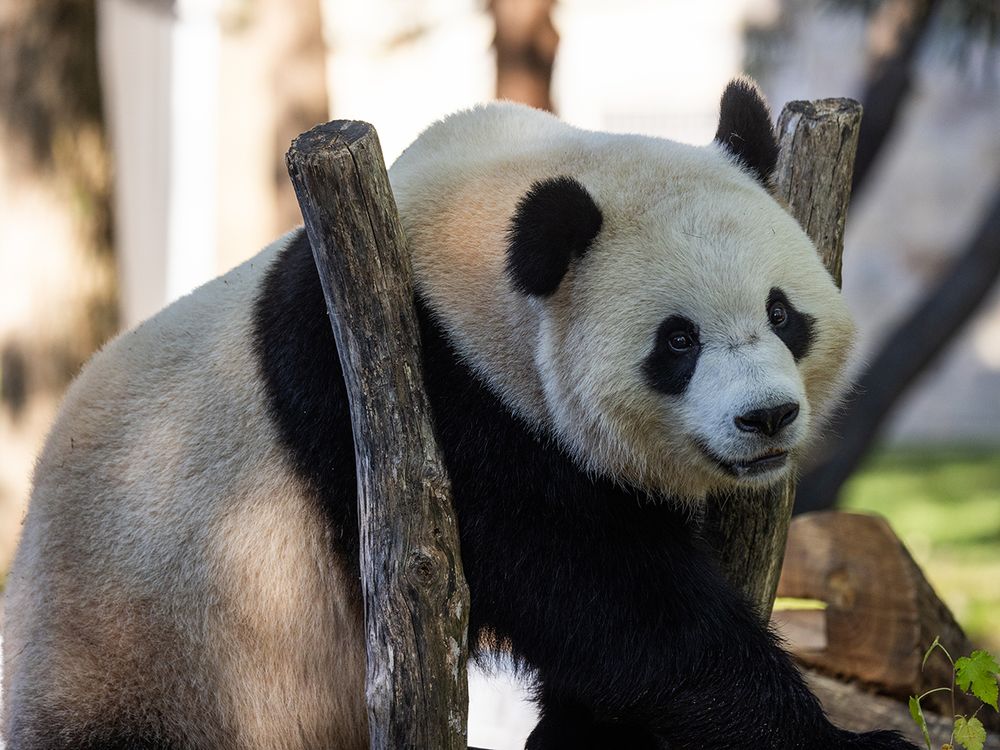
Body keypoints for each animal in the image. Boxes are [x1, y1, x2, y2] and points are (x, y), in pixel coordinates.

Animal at [3, 78, 917, 750]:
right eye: (678, 340)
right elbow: (604, 592)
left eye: (782, 313)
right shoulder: (419, 392)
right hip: (147, 648)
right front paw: (844, 742)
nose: (767, 418)